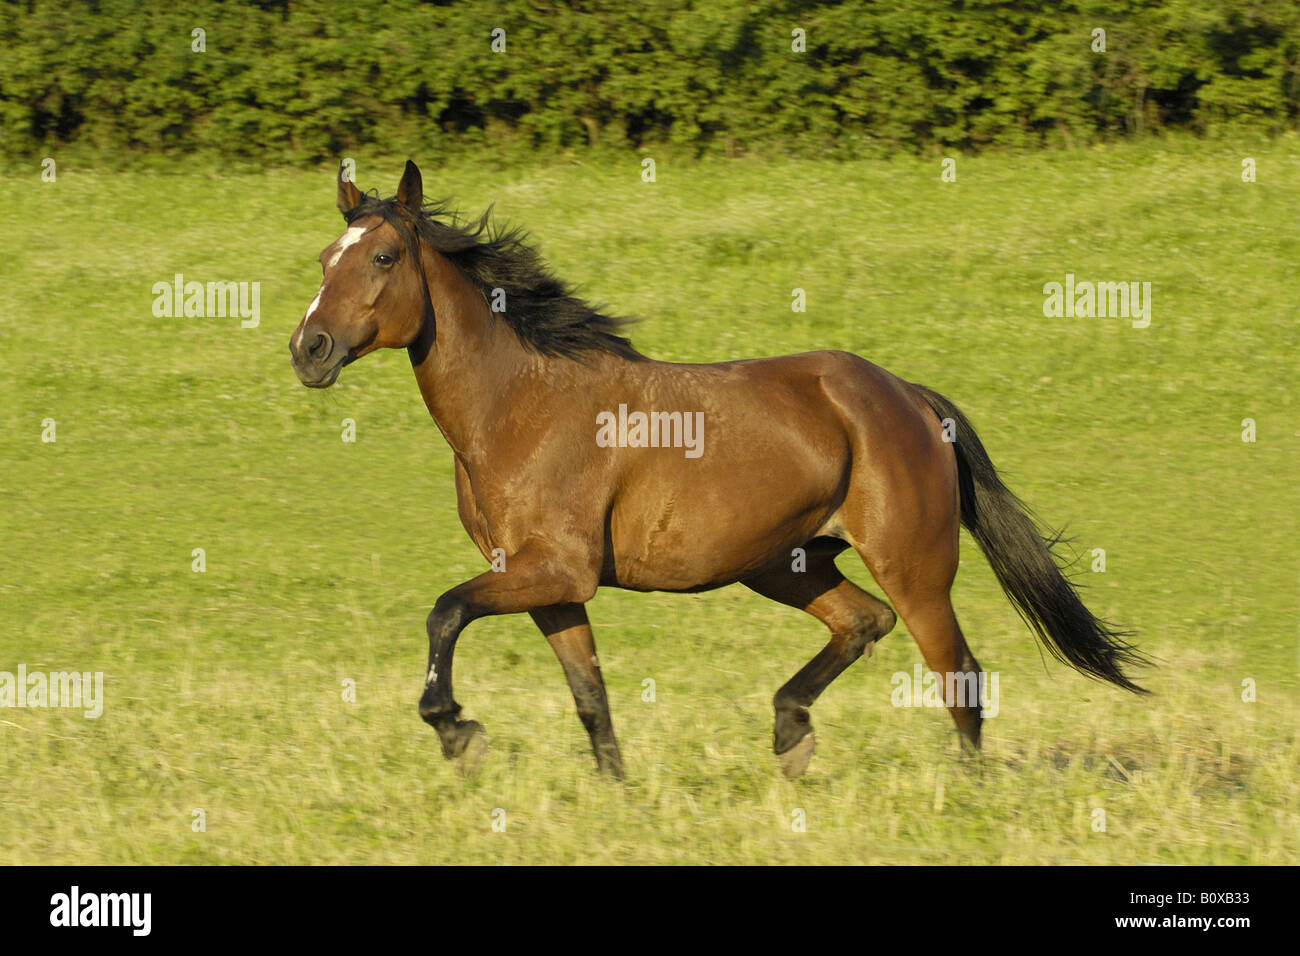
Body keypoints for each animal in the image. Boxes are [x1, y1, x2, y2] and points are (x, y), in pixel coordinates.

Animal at [289, 160, 1148, 778]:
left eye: (384, 256)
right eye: (325, 258)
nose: (309, 350)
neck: (520, 406)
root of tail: (907, 395)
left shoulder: (555, 570)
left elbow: (444, 612)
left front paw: (456, 732)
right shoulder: (550, 585)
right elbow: (590, 695)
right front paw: (615, 791)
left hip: (914, 568)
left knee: (957, 675)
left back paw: (960, 792)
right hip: (784, 563)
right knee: (863, 624)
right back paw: (791, 735)